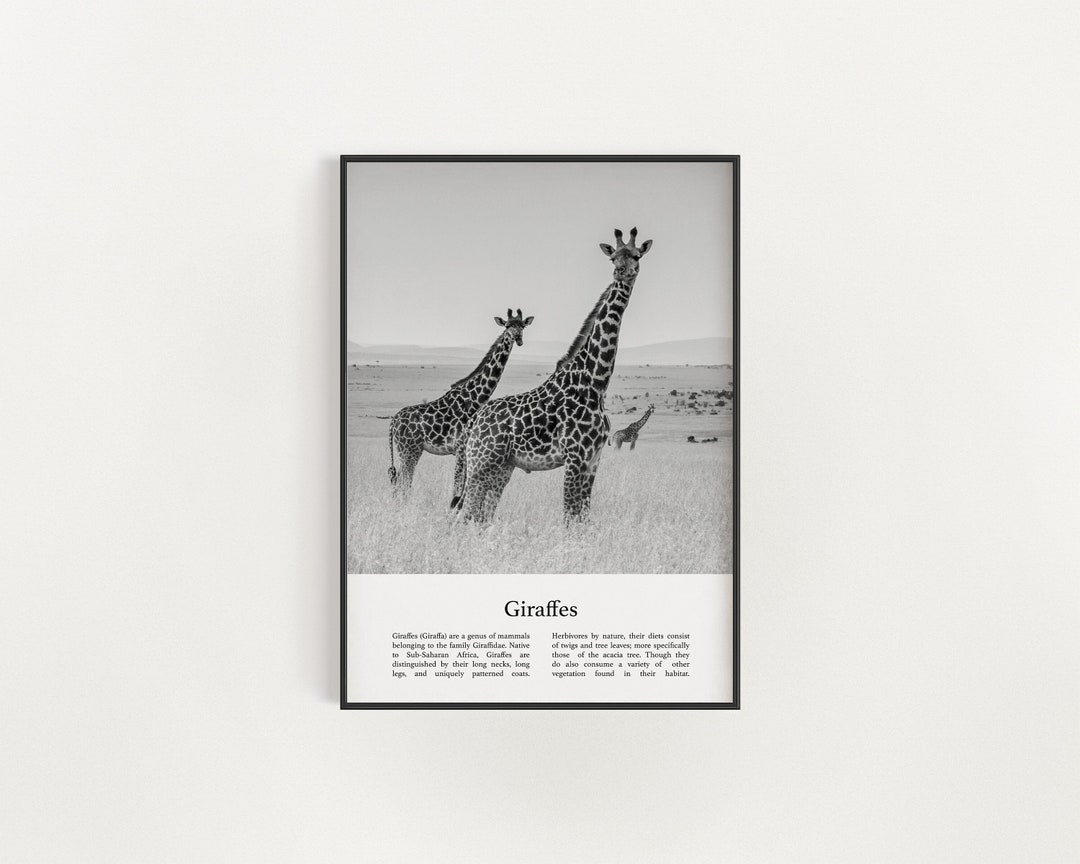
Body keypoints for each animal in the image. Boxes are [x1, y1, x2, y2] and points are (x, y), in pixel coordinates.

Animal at [388, 309, 533, 494]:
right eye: (507, 326)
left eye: (522, 326)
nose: (518, 338)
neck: (476, 398)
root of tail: (393, 421)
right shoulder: (460, 448)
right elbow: (457, 485)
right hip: (409, 449)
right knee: (403, 483)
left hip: (407, 450)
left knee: (398, 482)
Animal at [453, 228, 652, 523]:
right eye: (612, 257)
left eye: (636, 256)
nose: (621, 272)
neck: (595, 382)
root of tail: (474, 421)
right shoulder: (574, 457)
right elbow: (568, 516)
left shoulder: (594, 459)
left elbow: (583, 517)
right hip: (480, 462)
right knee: (464, 515)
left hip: (502, 466)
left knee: (481, 515)